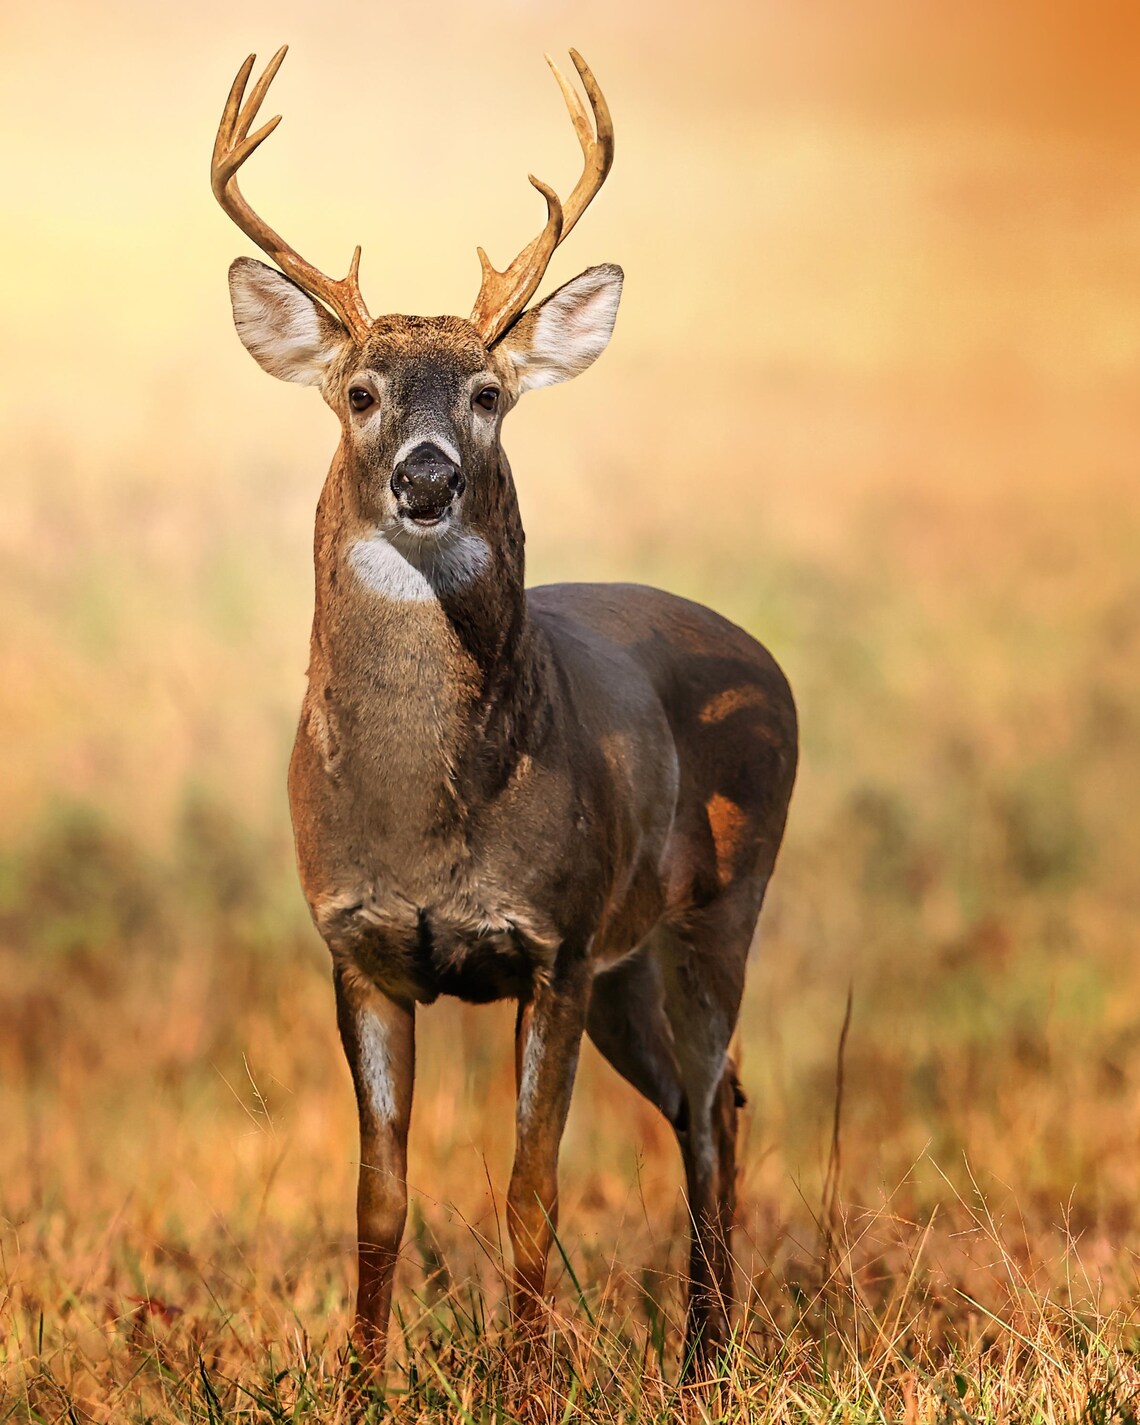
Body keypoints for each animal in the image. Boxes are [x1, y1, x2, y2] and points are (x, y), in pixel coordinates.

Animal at [211, 45, 797, 1382]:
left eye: (488, 393)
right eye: (361, 390)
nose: (427, 476)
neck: (430, 819)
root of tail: (761, 656)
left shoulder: (554, 943)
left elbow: (533, 1193)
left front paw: (527, 1380)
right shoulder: (357, 944)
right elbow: (377, 1199)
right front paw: (361, 1385)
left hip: (716, 912)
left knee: (713, 1106)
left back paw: (707, 1359)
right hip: (634, 965)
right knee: (710, 1101)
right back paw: (704, 1348)